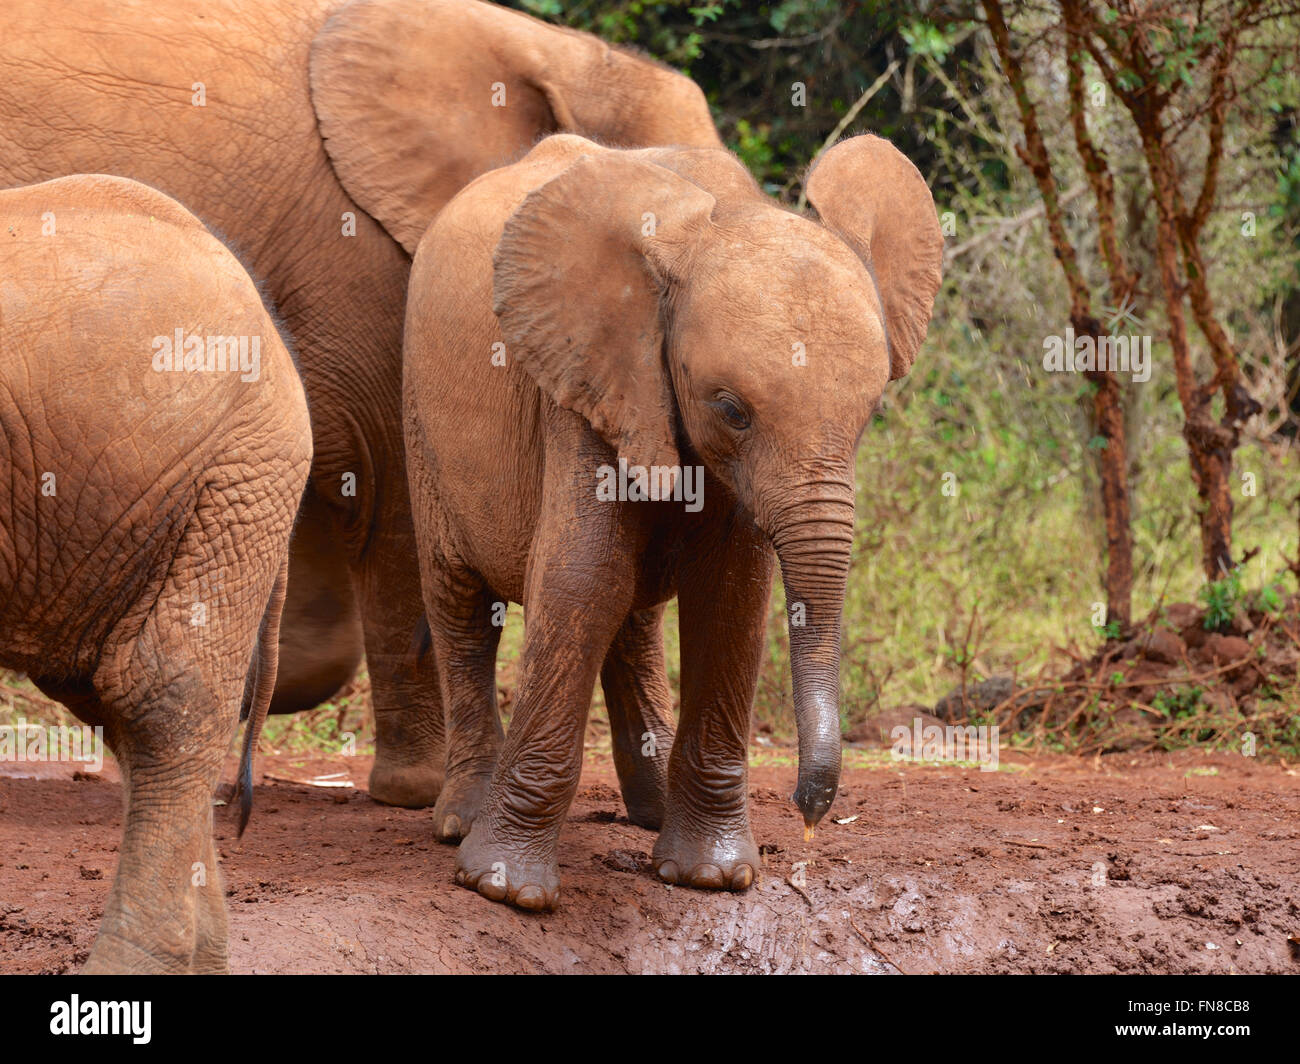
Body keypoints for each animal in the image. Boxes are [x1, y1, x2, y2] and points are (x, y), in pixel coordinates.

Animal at [402, 132, 943, 911]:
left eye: (871, 412)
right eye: (731, 409)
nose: (810, 814)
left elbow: (730, 601)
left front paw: (710, 878)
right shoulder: (584, 383)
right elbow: (580, 579)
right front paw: (504, 889)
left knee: (630, 617)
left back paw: (652, 811)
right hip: (422, 414)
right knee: (461, 602)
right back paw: (461, 822)